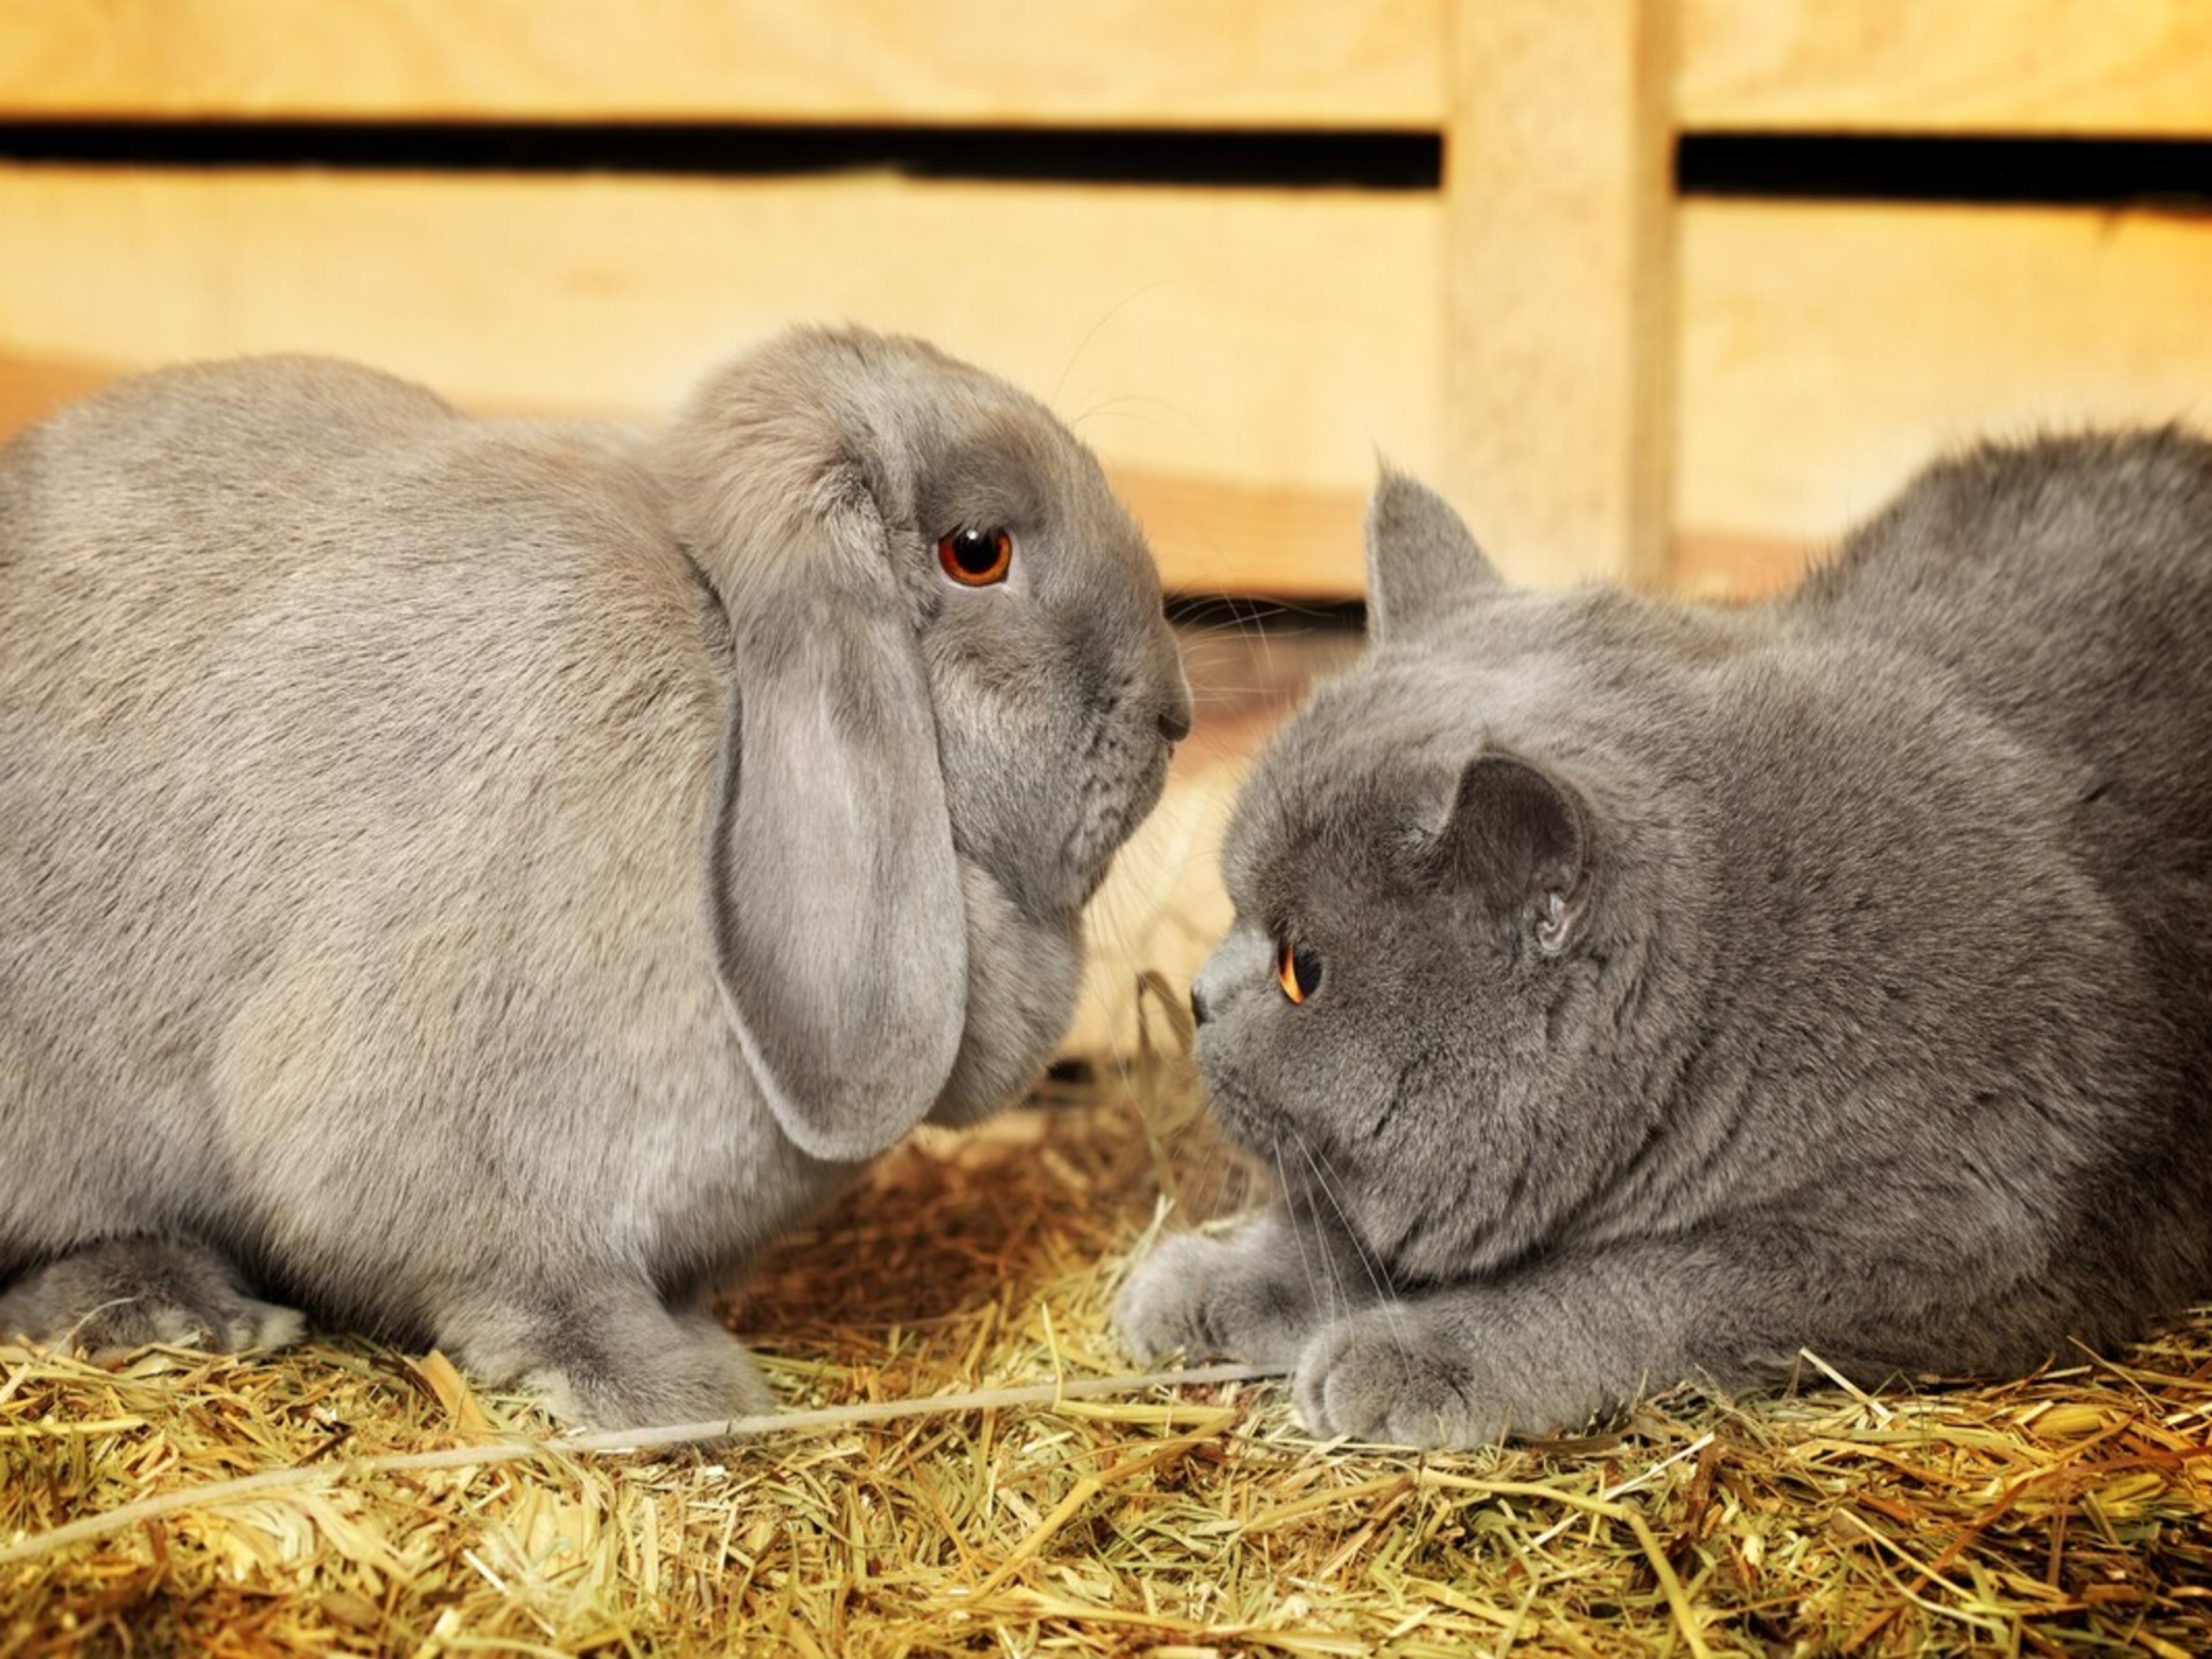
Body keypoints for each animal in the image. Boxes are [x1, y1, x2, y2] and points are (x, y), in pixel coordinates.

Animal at [0, 325, 1191, 1428]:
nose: (1174, 715)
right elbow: (534, 1292)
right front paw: (684, 1393)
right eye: (977, 551)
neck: (727, 671)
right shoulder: (451, 1149)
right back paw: (193, 1310)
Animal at [1116, 430, 2212, 1447]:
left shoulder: (1946, 1230)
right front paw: (1210, 1279)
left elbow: (1633, 1283)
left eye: (1302, 970)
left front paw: (1421, 1353)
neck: (1750, 1001)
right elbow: (1351, 1233)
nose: (1199, 995)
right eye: (1236, 908)